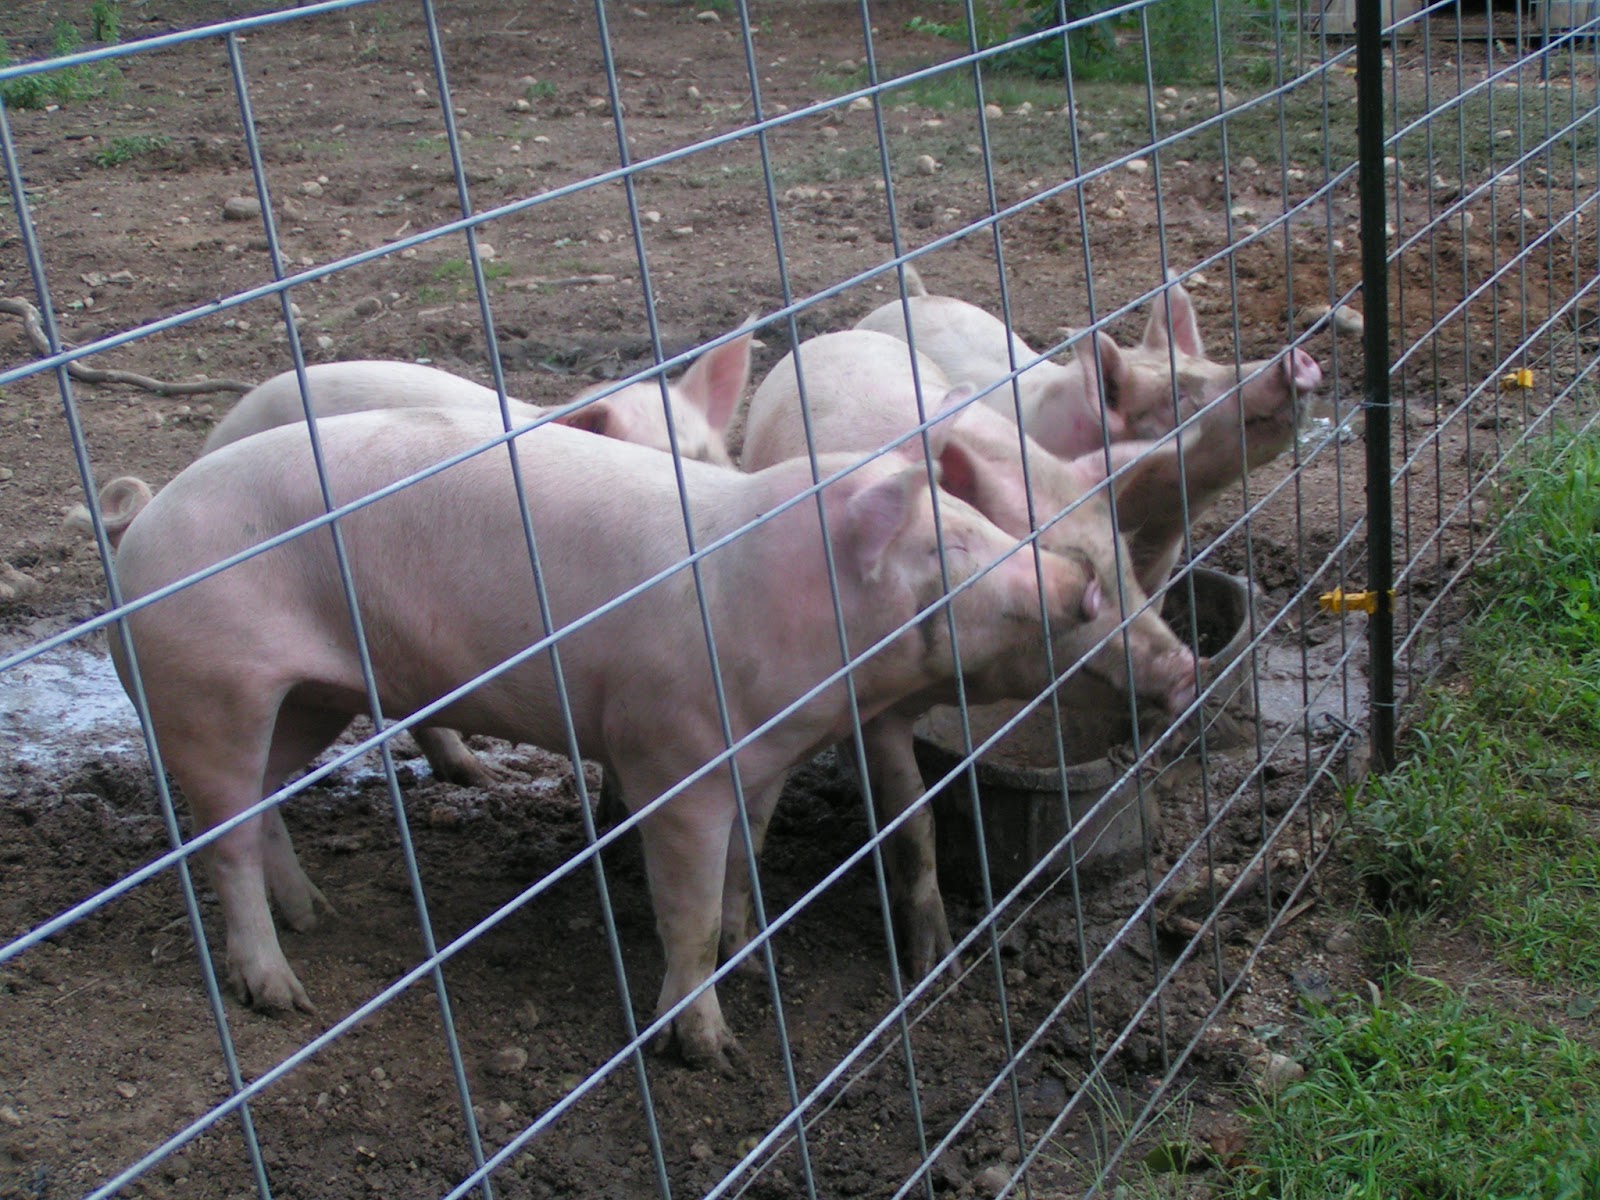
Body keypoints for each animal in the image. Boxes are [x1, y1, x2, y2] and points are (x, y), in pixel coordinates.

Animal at [96, 407, 1095, 1071]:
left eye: (978, 523)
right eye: (951, 550)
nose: (1079, 579)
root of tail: (140, 527)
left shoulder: (764, 759)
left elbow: (745, 864)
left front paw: (753, 956)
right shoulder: (671, 754)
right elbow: (688, 909)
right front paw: (713, 1051)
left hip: (309, 699)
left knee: (262, 806)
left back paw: (320, 914)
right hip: (207, 688)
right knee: (220, 839)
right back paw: (282, 994)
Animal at [740, 330, 1201, 974]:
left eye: (1124, 566)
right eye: (1080, 575)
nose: (1187, 667)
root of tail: (832, 335)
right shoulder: (876, 702)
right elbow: (915, 818)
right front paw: (937, 965)